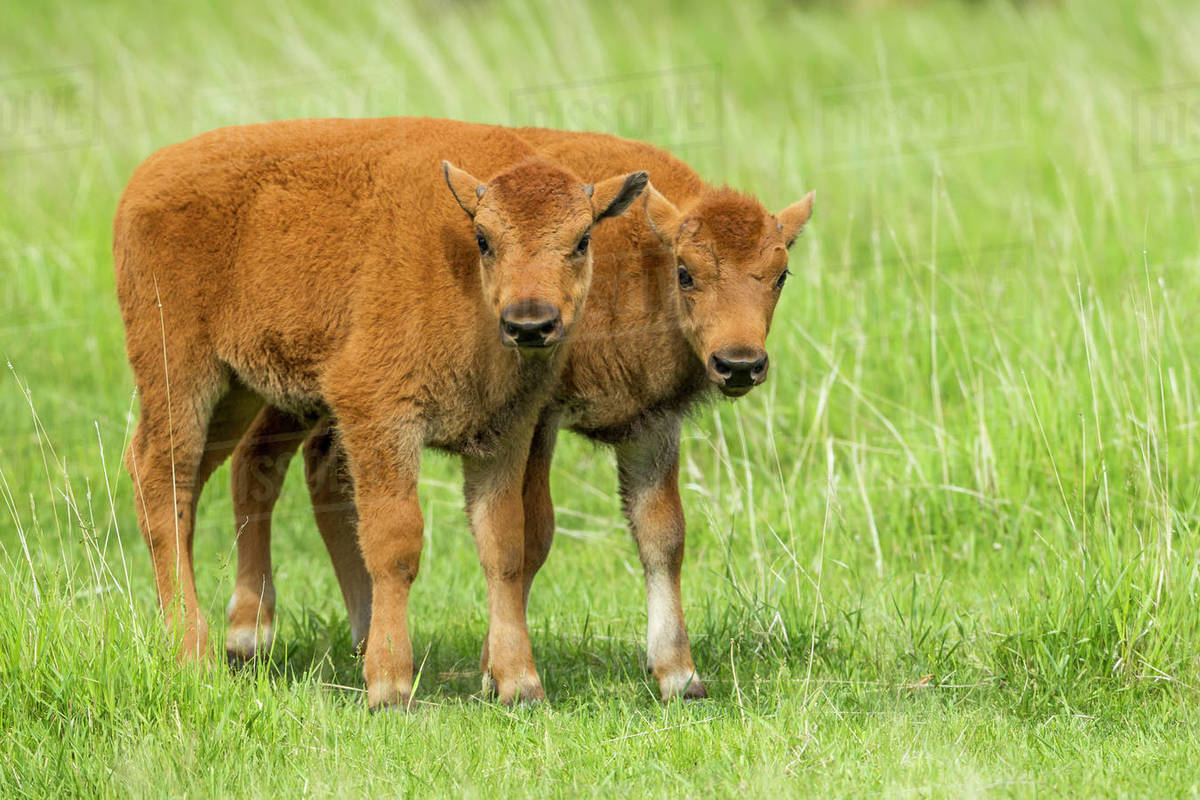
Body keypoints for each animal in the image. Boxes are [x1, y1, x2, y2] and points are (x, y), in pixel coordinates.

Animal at [114, 117, 648, 710]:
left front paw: (520, 684)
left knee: (204, 480)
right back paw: (194, 653)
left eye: (582, 239)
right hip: (180, 374)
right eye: (485, 239)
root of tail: (146, 179)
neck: (461, 273)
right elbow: (396, 544)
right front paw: (390, 686)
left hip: (237, 390)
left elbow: (504, 546)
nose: (529, 323)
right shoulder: (379, 416)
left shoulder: (504, 433)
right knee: (161, 477)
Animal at [222, 126, 814, 702]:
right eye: (686, 272)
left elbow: (662, 535)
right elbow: (534, 535)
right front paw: (495, 671)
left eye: (781, 274)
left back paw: (351, 635)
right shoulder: (539, 420)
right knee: (268, 465)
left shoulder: (650, 424)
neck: (639, 254)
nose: (739, 364)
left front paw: (679, 676)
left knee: (291, 469)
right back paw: (252, 637)